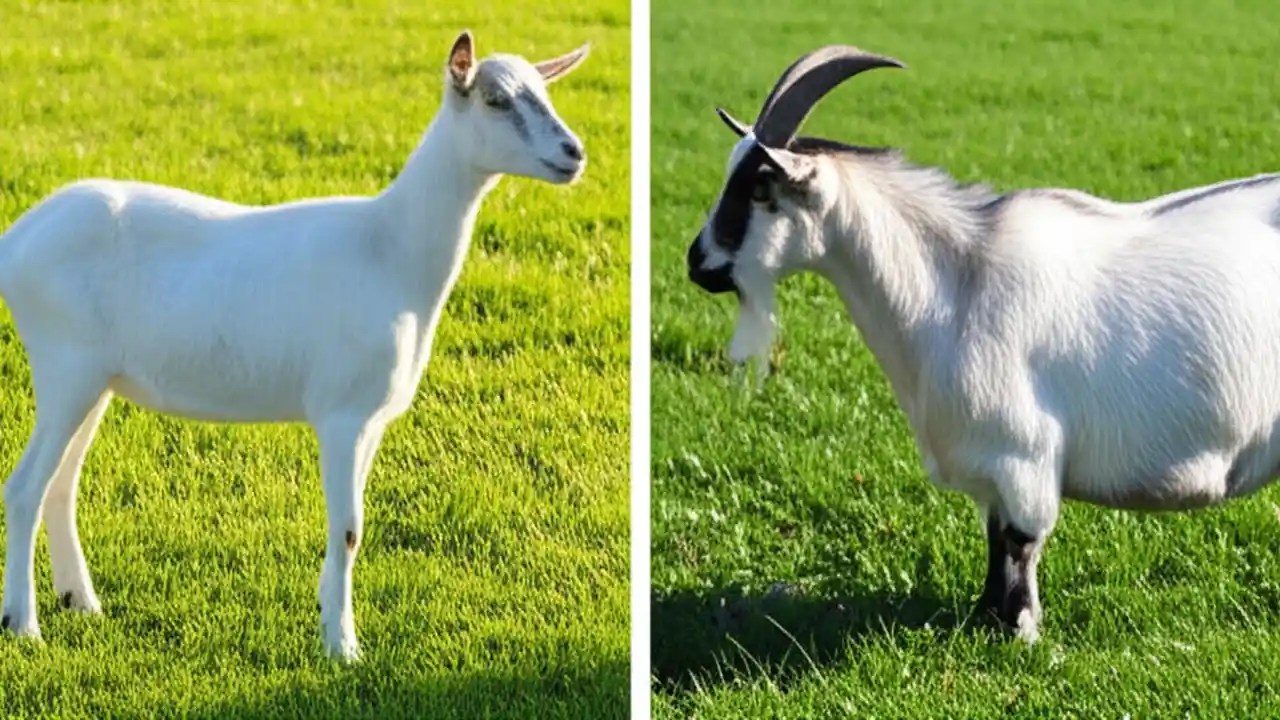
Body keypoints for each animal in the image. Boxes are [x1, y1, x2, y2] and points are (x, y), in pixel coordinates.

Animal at [0, 30, 589, 661]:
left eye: (545, 90)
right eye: (496, 100)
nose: (574, 152)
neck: (392, 248)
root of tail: (18, 238)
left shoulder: (372, 416)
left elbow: (354, 526)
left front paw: (331, 618)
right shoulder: (341, 412)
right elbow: (349, 529)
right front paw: (343, 648)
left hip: (94, 377)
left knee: (60, 484)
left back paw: (81, 602)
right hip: (66, 365)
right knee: (25, 486)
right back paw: (25, 624)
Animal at [687, 45, 1280, 643]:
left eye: (761, 189)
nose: (697, 262)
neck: (954, 285)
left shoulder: (1022, 455)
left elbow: (1019, 542)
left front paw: (1021, 631)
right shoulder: (991, 466)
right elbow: (995, 540)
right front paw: (986, 619)